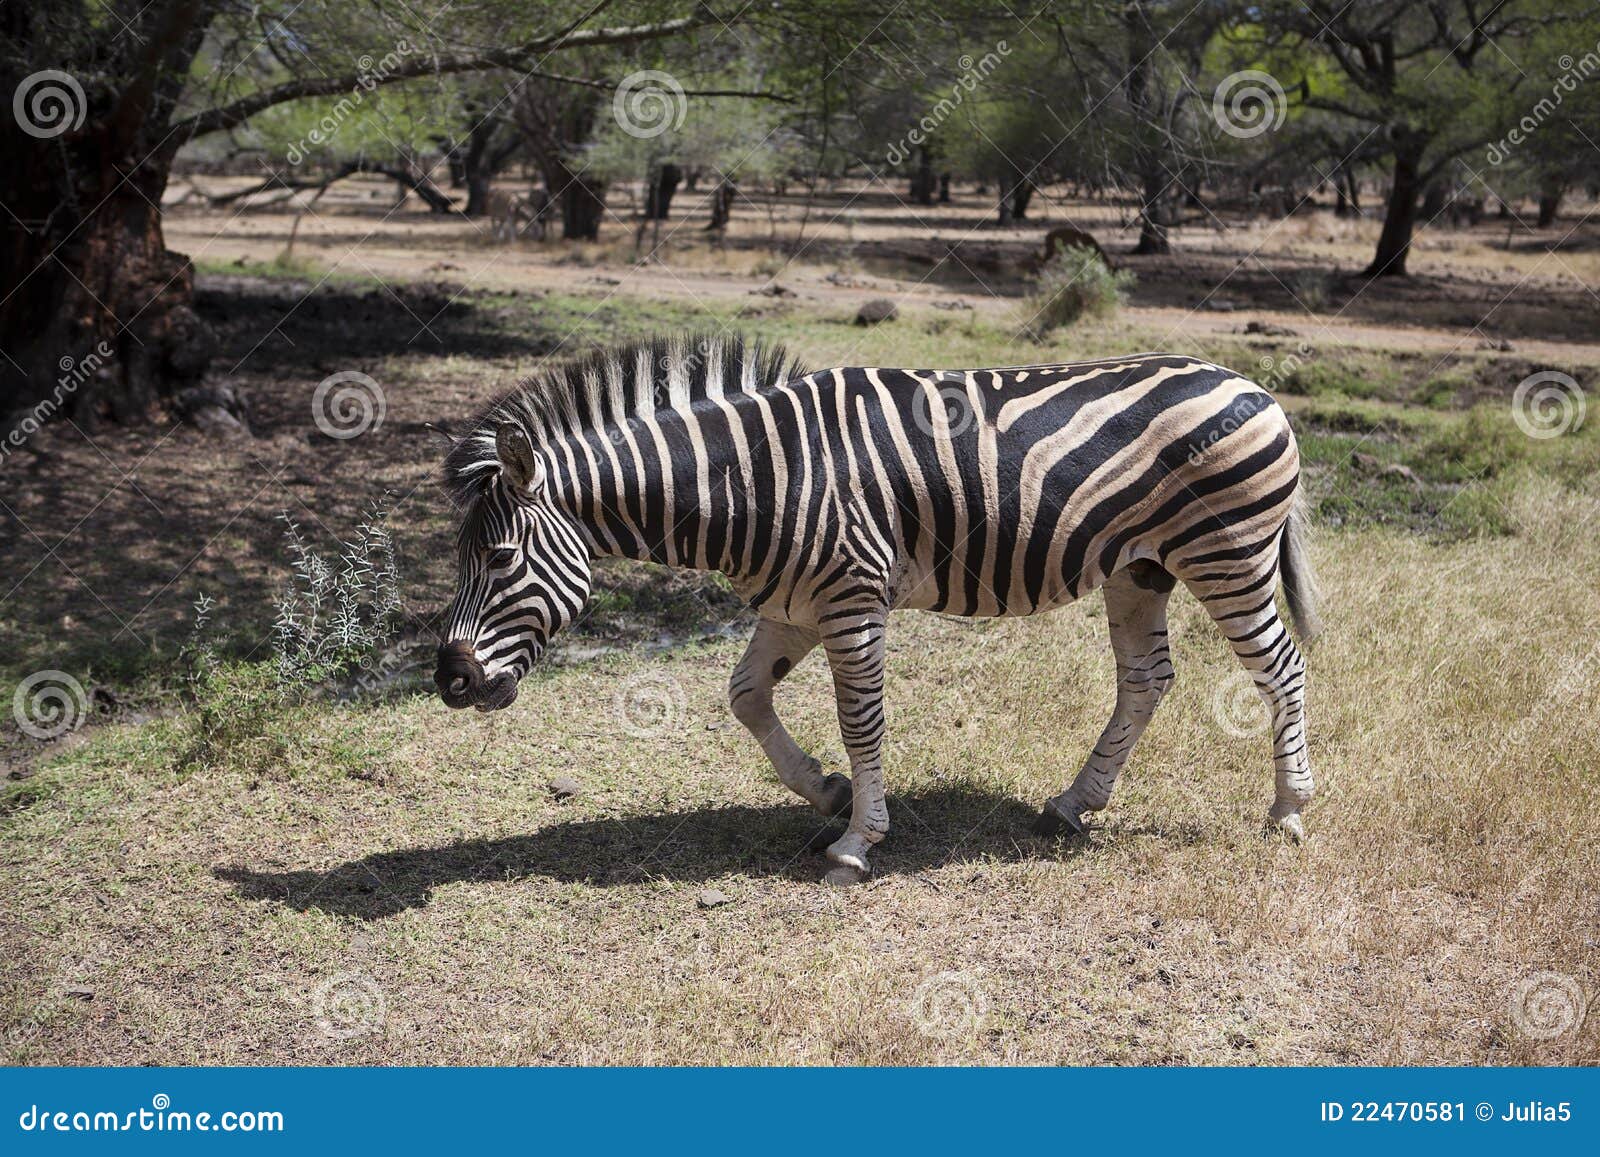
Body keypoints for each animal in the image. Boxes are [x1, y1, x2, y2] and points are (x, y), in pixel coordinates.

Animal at [434, 334, 1320, 884]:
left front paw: (858, 840)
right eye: (462, 558)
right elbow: (745, 695)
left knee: (1281, 668)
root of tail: (1255, 387)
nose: (449, 680)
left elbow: (862, 721)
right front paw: (826, 793)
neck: (758, 479)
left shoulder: (852, 596)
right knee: (1146, 678)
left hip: (1226, 554)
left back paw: (1288, 810)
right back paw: (1073, 805)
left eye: (500, 559)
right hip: (1141, 566)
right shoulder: (792, 602)